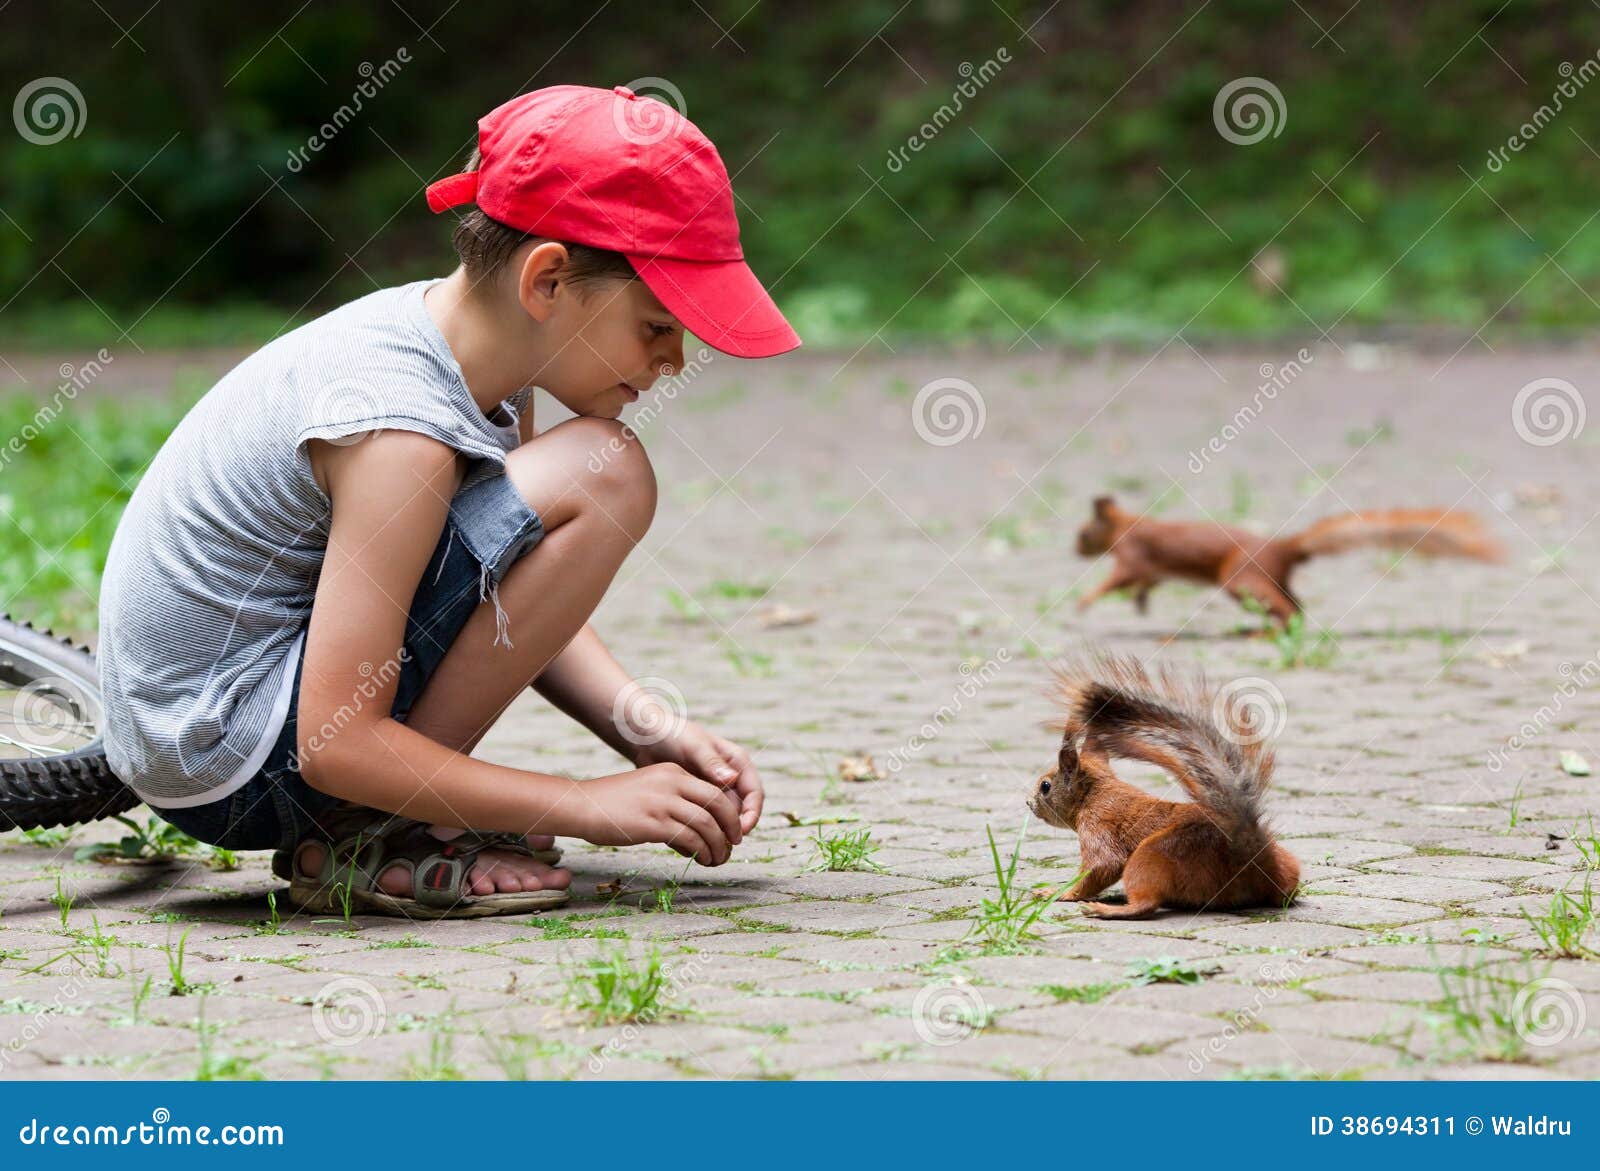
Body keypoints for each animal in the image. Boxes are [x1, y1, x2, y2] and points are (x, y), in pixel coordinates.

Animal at [1028, 651, 1301, 919]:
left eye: (1045, 786)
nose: (1029, 803)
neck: (1094, 794)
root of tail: (1252, 855)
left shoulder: (1097, 825)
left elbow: (1104, 864)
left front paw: (1059, 893)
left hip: (1153, 854)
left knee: (1147, 904)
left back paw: (1106, 909)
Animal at [1074, 495, 1504, 624]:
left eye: (1082, 533)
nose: (1074, 550)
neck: (1127, 523)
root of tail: (1282, 548)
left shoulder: (1132, 555)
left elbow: (1118, 579)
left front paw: (1084, 601)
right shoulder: (1148, 567)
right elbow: (1145, 582)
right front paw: (1141, 603)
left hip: (1242, 580)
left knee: (1286, 610)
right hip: (1271, 579)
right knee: (1296, 607)